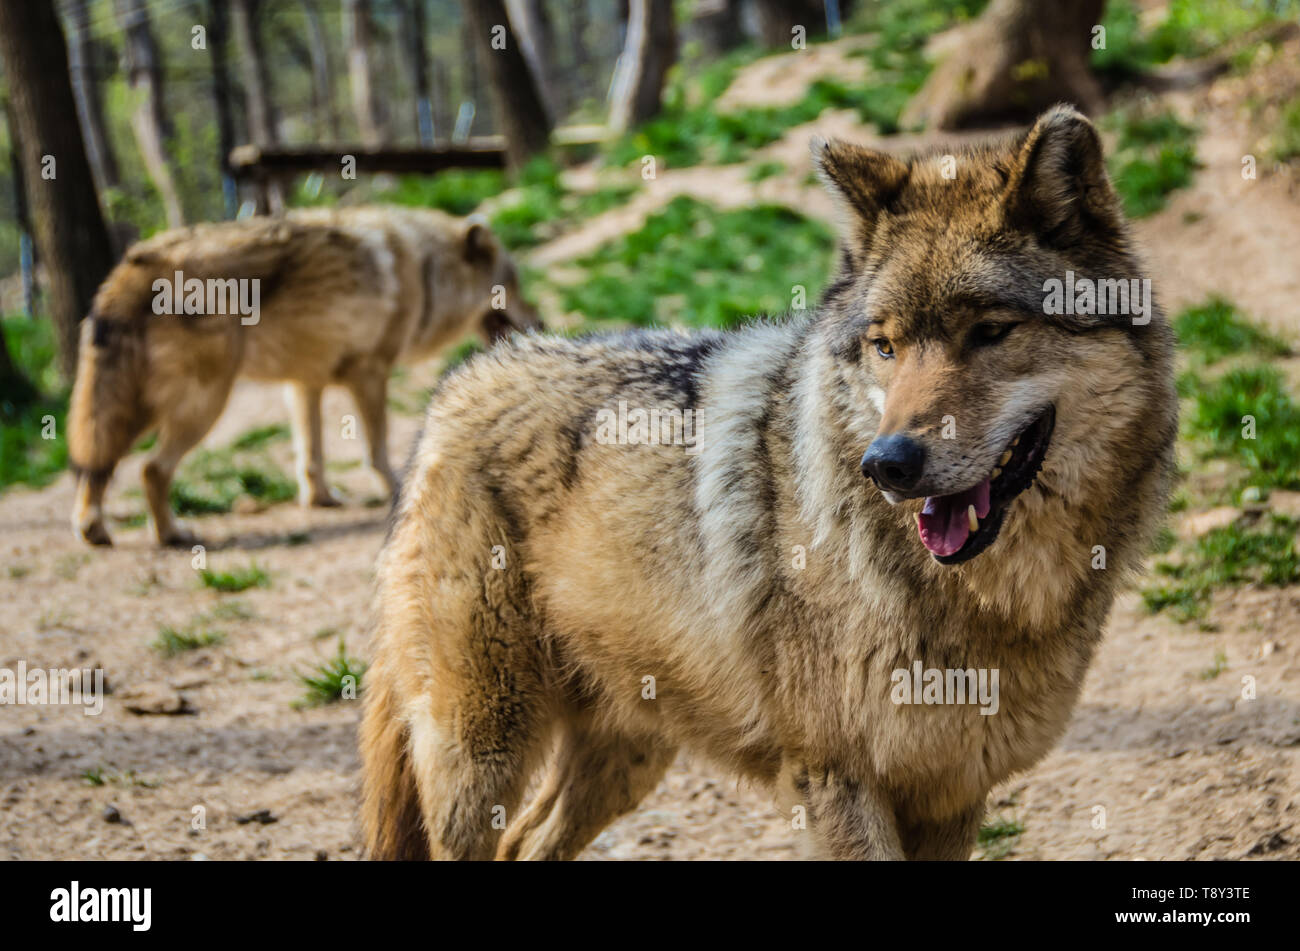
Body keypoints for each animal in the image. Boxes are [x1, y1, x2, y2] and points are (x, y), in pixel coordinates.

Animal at [68, 205, 540, 547]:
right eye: (513, 285)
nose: (539, 321)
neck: (425, 270)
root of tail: (129, 268)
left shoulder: (303, 385)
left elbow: (310, 455)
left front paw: (322, 500)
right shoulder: (370, 375)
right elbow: (377, 449)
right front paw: (393, 492)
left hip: (136, 411)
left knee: (96, 470)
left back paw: (95, 531)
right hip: (203, 406)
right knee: (150, 470)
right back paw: (171, 535)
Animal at [359, 106, 1178, 860]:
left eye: (991, 332)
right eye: (885, 345)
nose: (889, 464)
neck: (980, 601)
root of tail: (456, 386)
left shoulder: (953, 792)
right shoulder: (838, 779)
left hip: (626, 755)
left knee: (527, 843)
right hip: (482, 752)